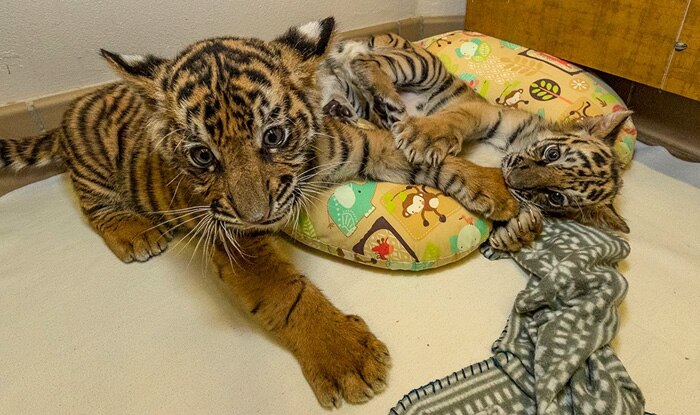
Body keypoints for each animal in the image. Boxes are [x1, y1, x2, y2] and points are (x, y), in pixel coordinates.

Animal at [0, 19, 519, 408]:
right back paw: (136, 235)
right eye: (202, 156)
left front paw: (493, 187)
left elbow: (422, 157)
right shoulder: (238, 242)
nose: (257, 215)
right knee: (93, 206)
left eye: (274, 136)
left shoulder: (359, 144)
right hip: (94, 170)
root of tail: (71, 110)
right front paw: (349, 359)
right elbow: (291, 296)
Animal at [320, 32, 632, 252]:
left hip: (367, 97)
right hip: (423, 65)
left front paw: (521, 229)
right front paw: (424, 137)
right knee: (365, 63)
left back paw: (349, 109)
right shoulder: (487, 113)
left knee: (353, 94)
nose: (511, 179)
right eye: (552, 153)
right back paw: (389, 100)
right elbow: (456, 119)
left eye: (556, 196)